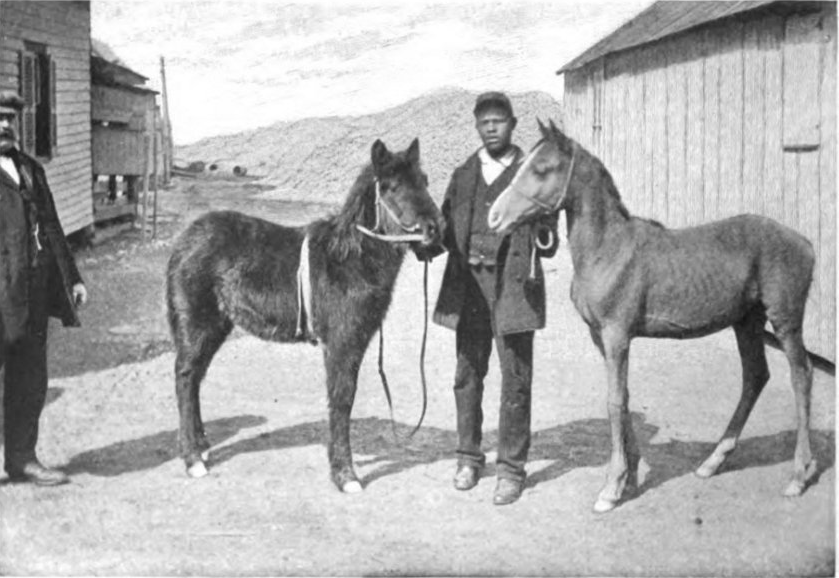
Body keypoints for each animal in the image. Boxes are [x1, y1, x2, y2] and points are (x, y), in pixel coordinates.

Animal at [166, 138, 444, 493]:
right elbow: (341, 398)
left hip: (217, 327)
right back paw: (193, 459)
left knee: (195, 379)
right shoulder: (341, 343)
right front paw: (345, 474)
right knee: (186, 378)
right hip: (198, 326)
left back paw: (202, 447)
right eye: (392, 187)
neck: (349, 259)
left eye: (424, 181)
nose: (436, 232)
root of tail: (185, 239)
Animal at [487, 120, 817, 513]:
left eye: (541, 168)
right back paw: (712, 462)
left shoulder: (616, 335)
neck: (607, 249)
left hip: (785, 321)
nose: (494, 218)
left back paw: (799, 475)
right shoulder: (602, 338)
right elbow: (624, 397)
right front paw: (628, 480)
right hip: (746, 322)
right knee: (755, 376)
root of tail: (805, 242)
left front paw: (610, 489)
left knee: (801, 376)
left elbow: (614, 401)